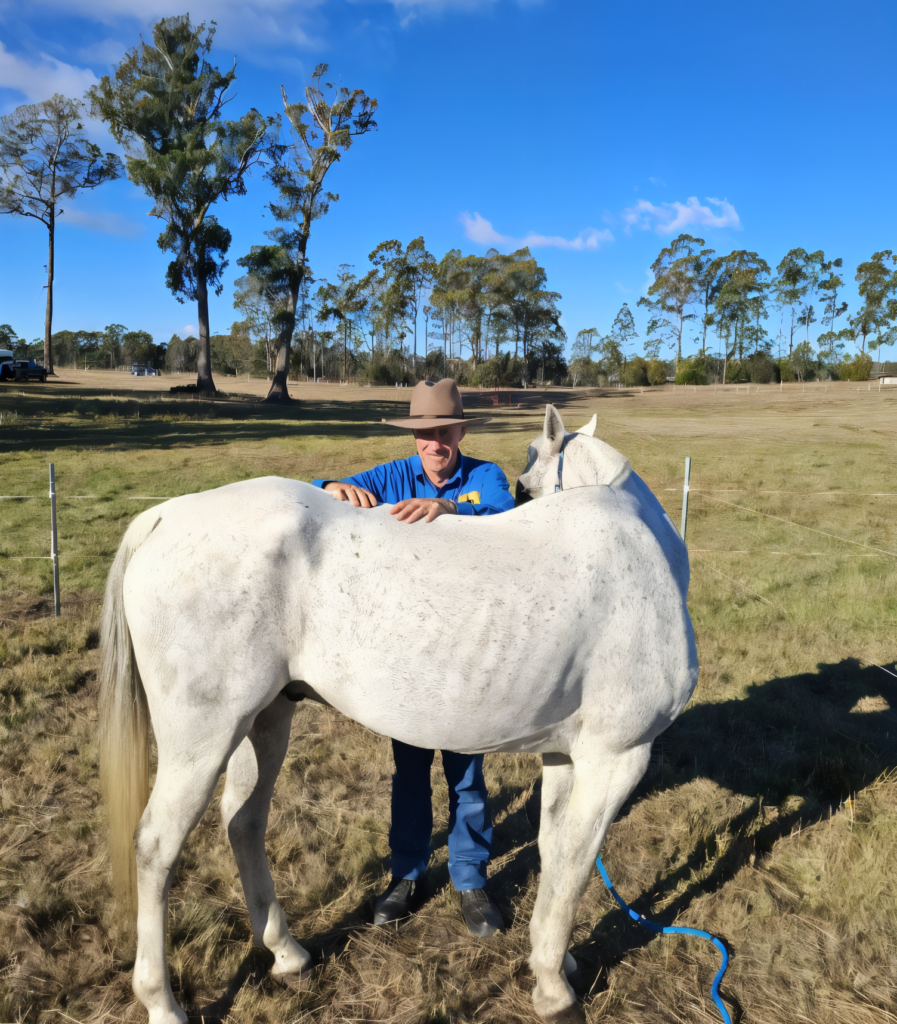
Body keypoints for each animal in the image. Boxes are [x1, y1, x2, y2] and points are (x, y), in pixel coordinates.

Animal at [99, 403, 697, 1024]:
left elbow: (556, 856)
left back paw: (286, 953)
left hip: (262, 721)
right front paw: (555, 989)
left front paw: (555, 961)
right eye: (523, 485)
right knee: (156, 847)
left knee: (244, 822)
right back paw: (162, 1002)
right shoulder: (617, 757)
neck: (643, 550)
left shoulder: (567, 756)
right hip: (202, 738)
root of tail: (164, 516)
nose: (521, 492)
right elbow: (578, 863)